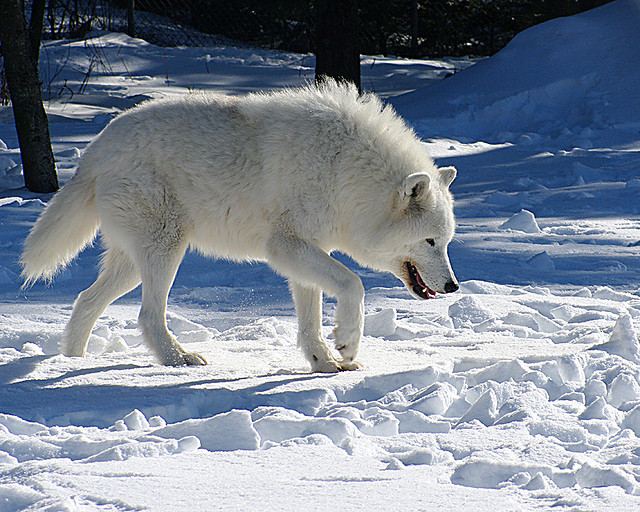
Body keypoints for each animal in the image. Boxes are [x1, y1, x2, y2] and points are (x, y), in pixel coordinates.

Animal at [21, 80, 458, 372]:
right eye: (430, 241)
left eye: (446, 242)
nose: (453, 286)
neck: (345, 173)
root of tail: (95, 149)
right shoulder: (286, 246)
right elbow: (354, 283)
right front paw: (347, 344)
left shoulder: (305, 252)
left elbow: (310, 319)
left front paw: (323, 362)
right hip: (166, 249)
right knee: (147, 314)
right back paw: (178, 358)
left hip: (132, 262)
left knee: (85, 301)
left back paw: (71, 366)